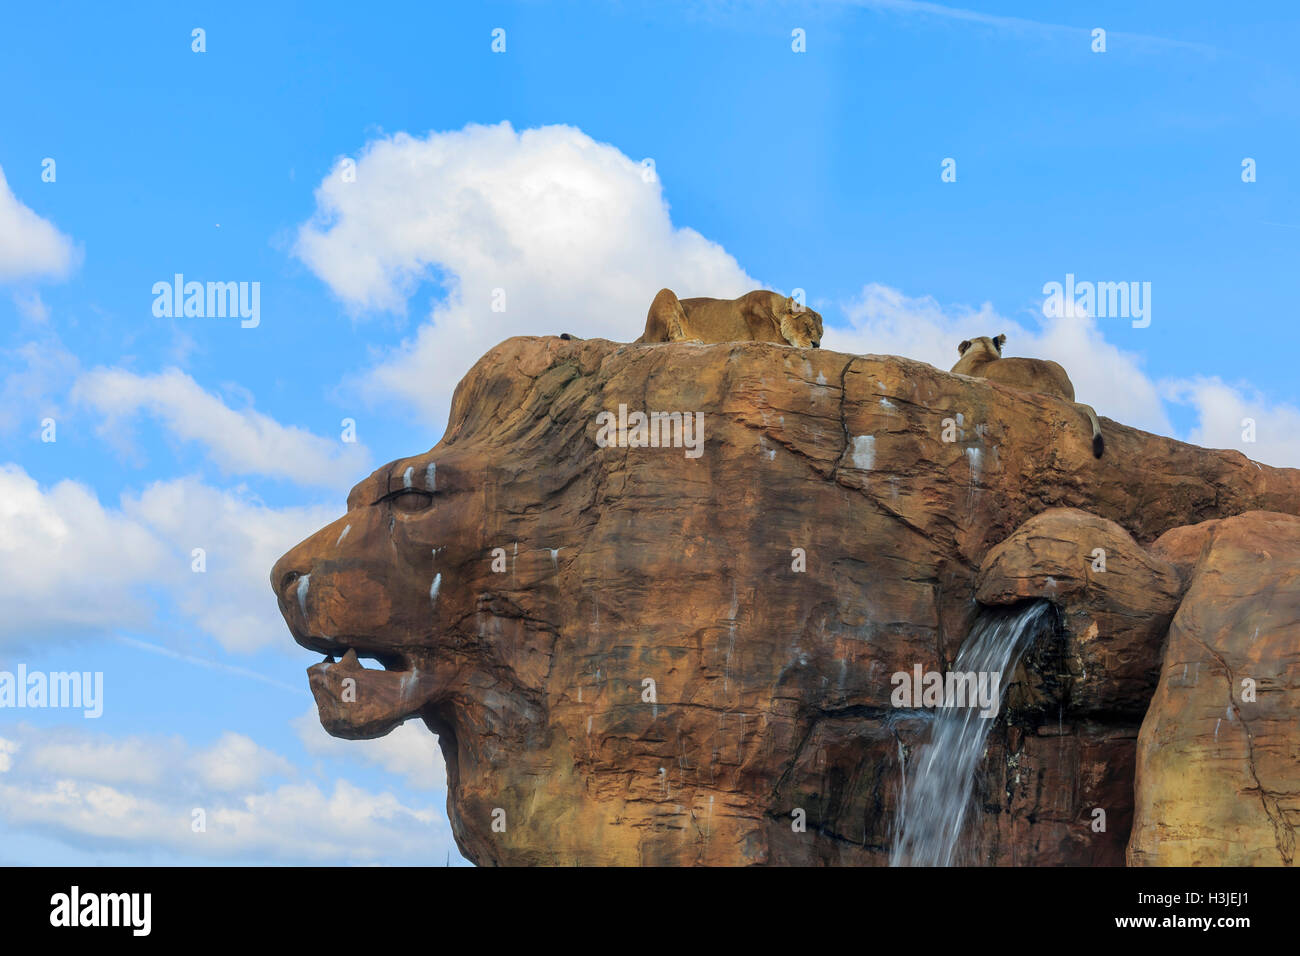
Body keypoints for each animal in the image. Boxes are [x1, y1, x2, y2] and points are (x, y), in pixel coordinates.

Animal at [634, 288, 823, 348]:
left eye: (821, 334)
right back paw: (694, 340)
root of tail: (642, 334)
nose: (817, 345)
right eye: (807, 327)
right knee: (669, 339)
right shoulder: (767, 338)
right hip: (665, 292)